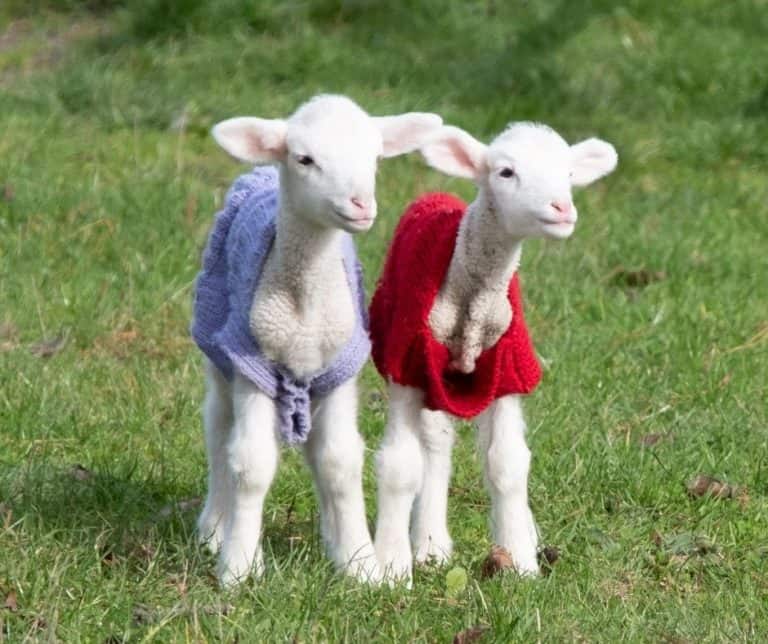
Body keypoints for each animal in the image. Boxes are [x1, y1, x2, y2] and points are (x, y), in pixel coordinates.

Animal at [191, 94, 442, 586]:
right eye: (305, 159)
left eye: (375, 158)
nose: (361, 204)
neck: (304, 305)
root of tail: (261, 172)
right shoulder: (252, 366)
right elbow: (250, 464)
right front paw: (239, 565)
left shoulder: (339, 371)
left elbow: (339, 463)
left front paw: (360, 563)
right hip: (217, 348)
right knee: (218, 429)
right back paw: (214, 527)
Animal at [369, 122, 618, 583]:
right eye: (505, 172)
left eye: (570, 174)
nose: (562, 208)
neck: (473, 296)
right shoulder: (406, 368)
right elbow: (400, 466)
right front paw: (391, 567)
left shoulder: (507, 372)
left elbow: (508, 463)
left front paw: (519, 559)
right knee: (434, 445)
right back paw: (430, 545)